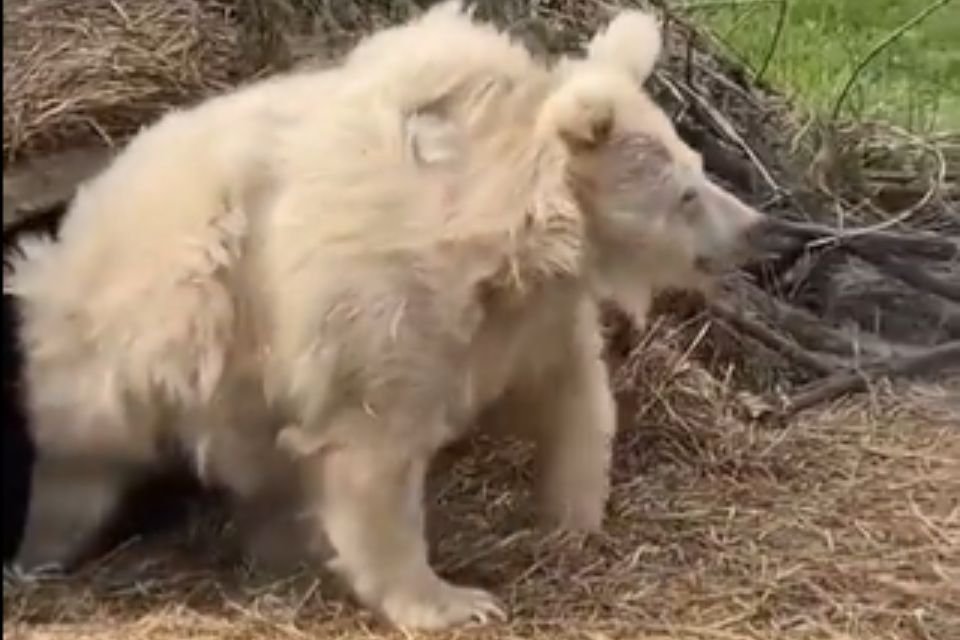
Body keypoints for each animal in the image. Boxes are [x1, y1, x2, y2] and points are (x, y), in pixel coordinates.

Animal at [5, 1, 767, 629]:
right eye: (687, 193)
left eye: (700, 167)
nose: (760, 229)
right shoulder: (380, 301)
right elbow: (373, 447)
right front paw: (452, 599)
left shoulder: (530, 311)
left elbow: (570, 395)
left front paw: (573, 517)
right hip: (138, 341)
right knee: (83, 459)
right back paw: (43, 549)